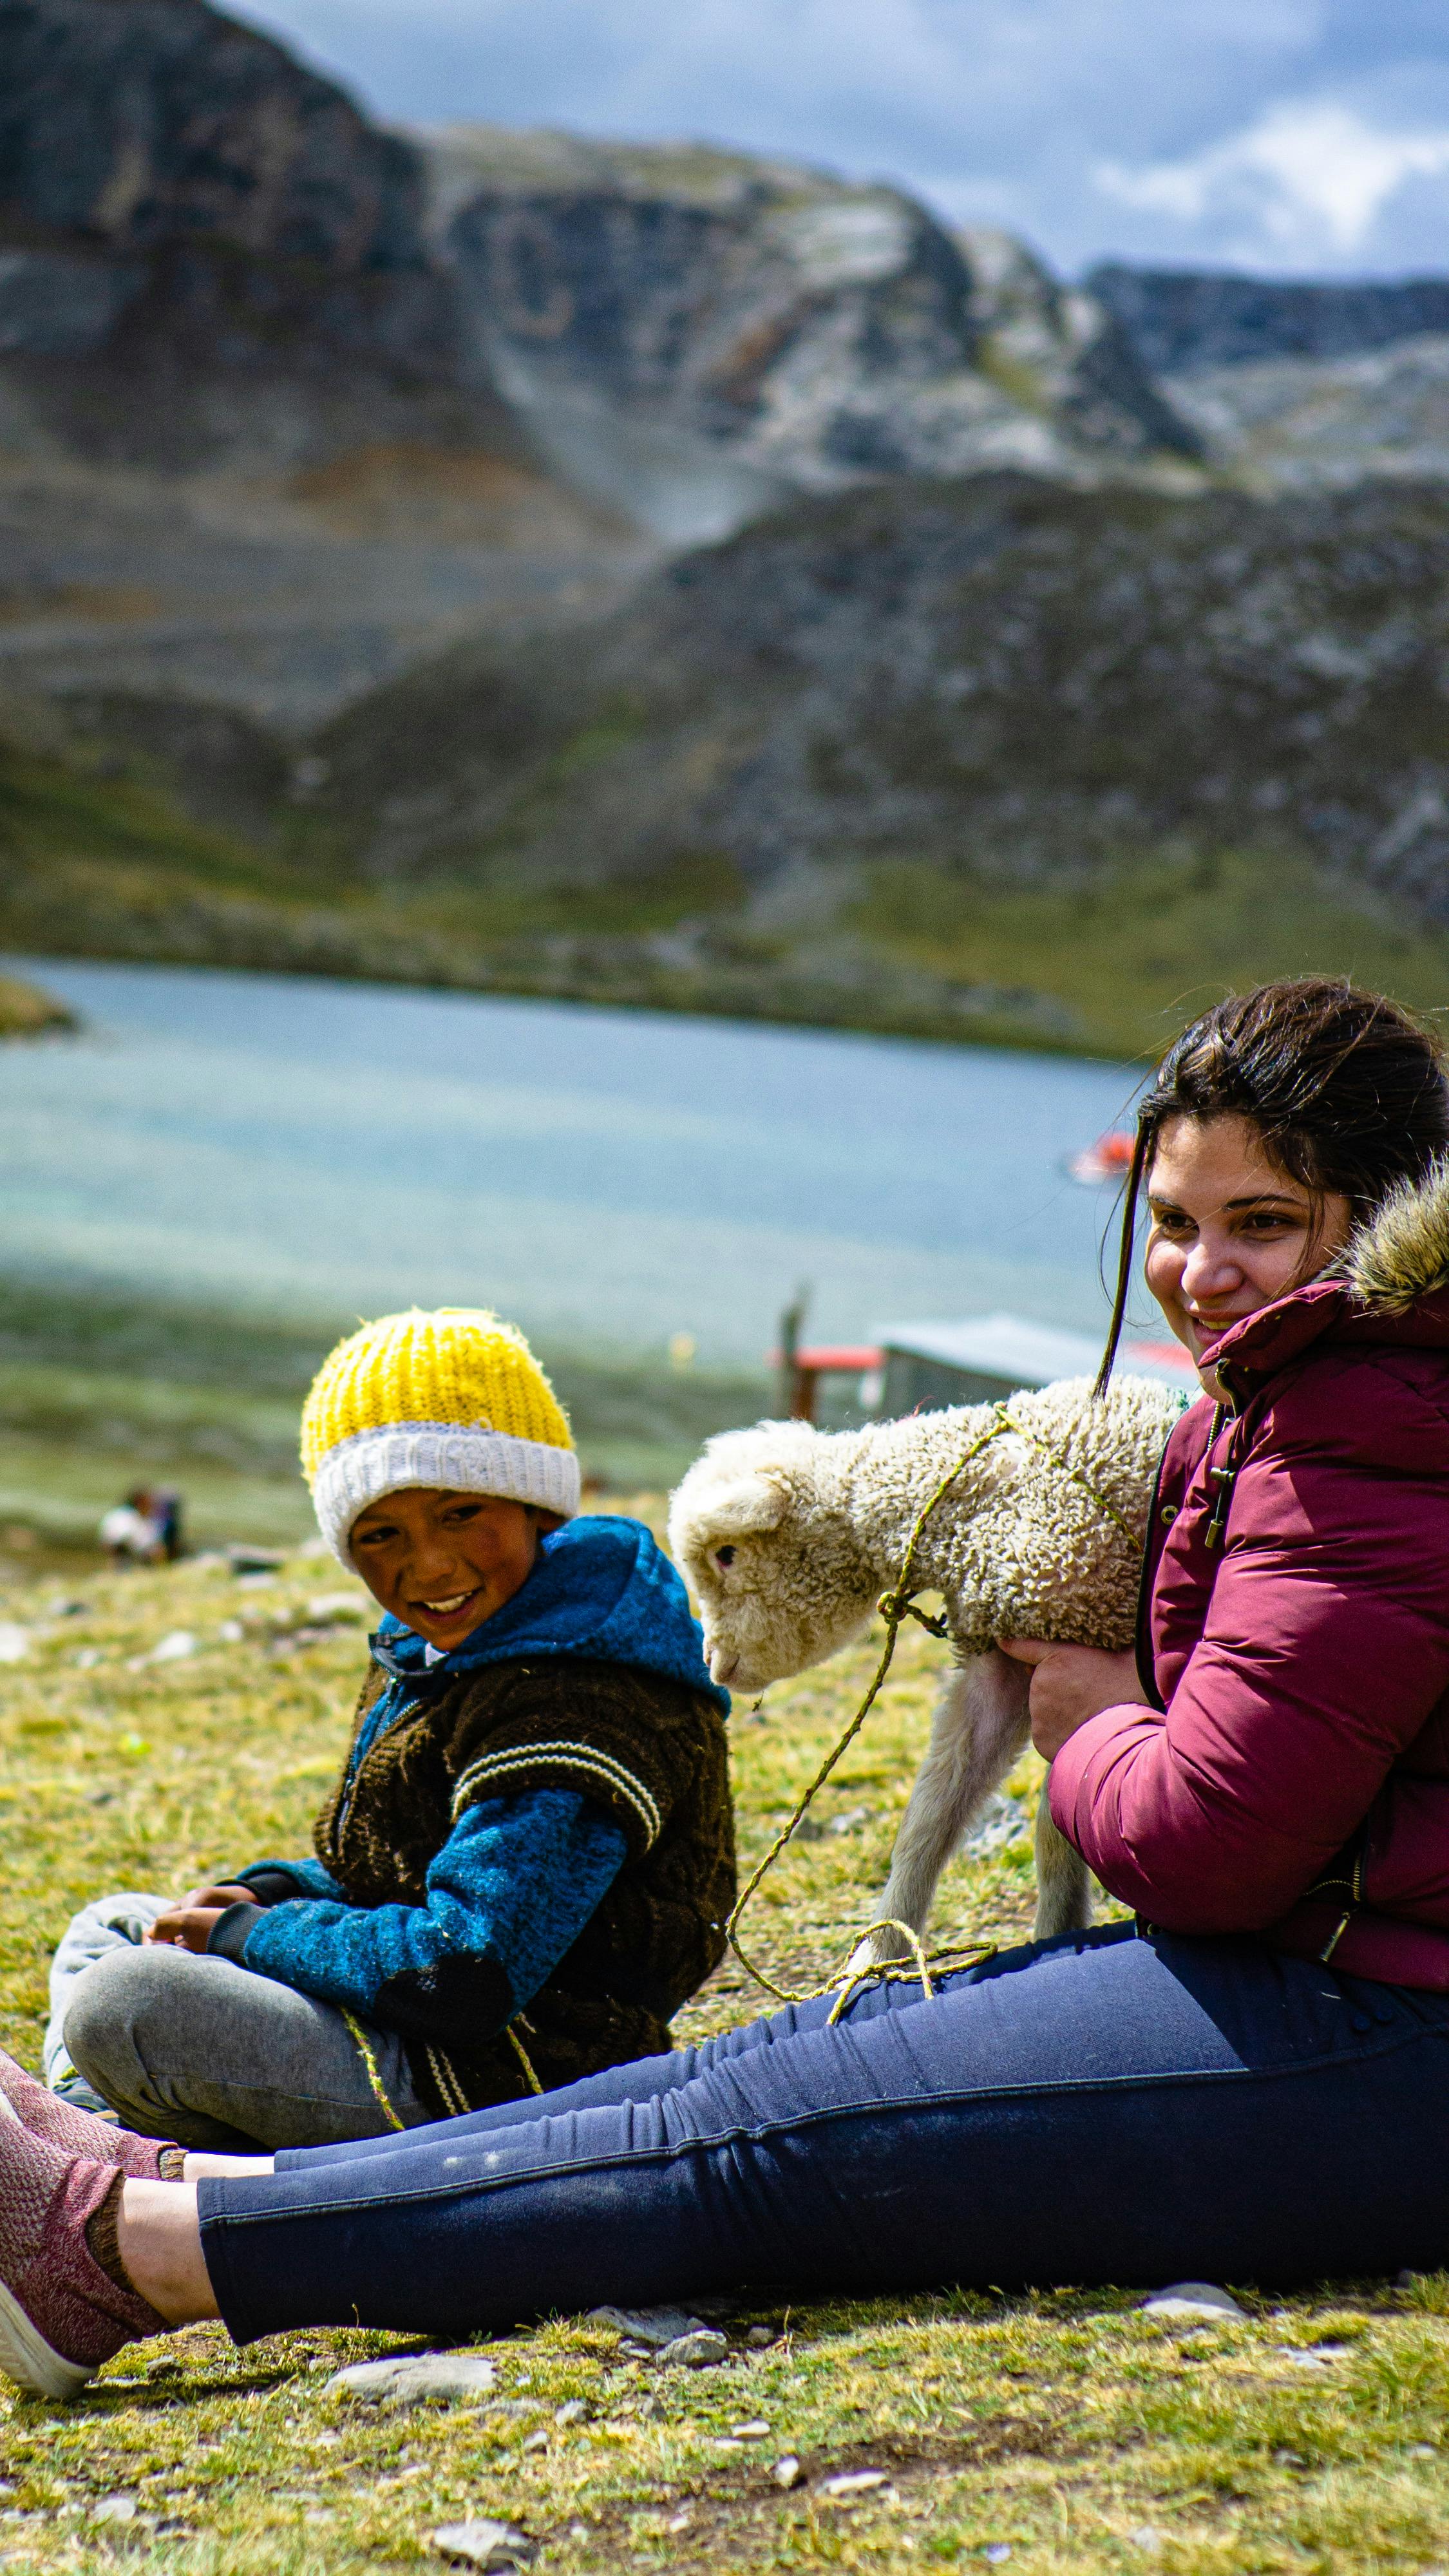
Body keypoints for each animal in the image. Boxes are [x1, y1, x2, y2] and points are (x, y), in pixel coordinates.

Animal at [668, 1374, 1187, 1963]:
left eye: (727, 1555)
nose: (713, 1663)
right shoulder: (1000, 1662)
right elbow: (931, 1815)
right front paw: (878, 1952)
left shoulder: (1093, 1647)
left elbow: (1061, 1812)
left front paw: (1060, 1927)